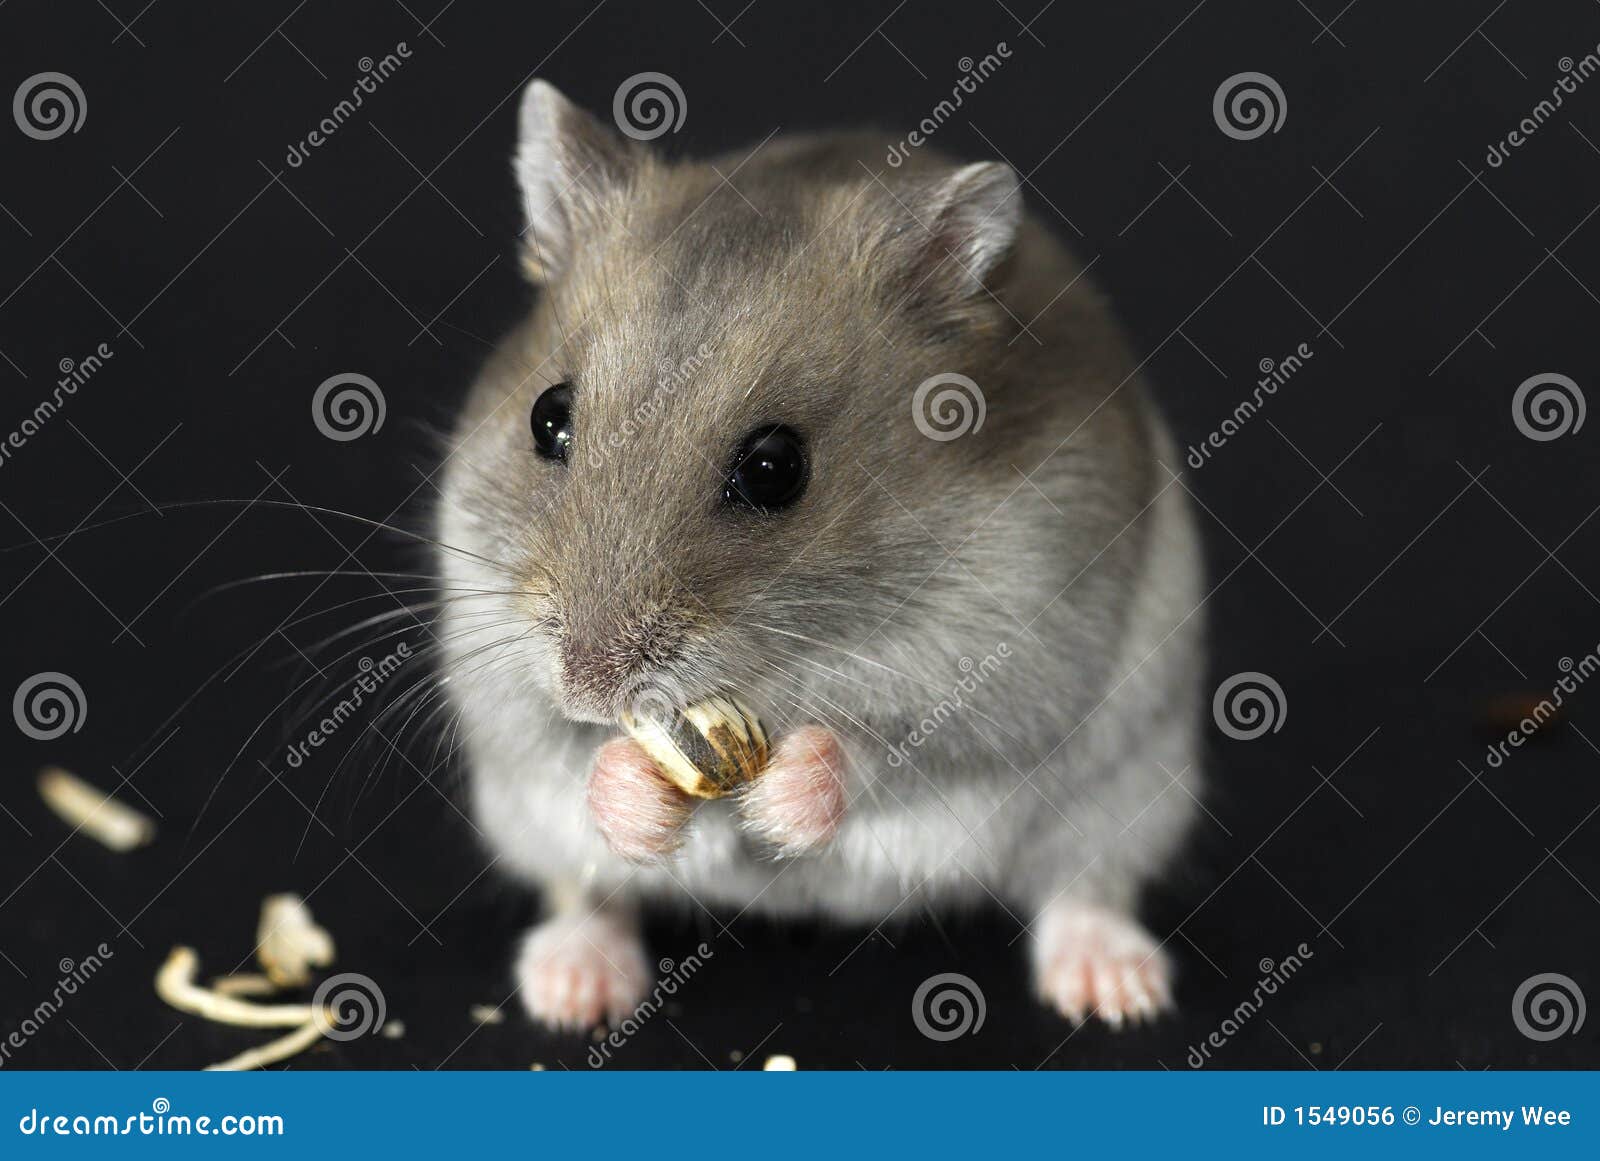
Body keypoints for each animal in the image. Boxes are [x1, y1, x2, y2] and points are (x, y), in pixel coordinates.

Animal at [433, 80, 1206, 1031]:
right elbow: (567, 756)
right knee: (584, 891)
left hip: (1135, 783)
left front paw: (777, 808)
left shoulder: (1013, 660)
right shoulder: (490, 657)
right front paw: (635, 796)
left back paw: (1117, 990)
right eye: (547, 418)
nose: (587, 688)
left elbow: (888, 749)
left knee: (1087, 883)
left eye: (775, 469)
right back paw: (572, 991)